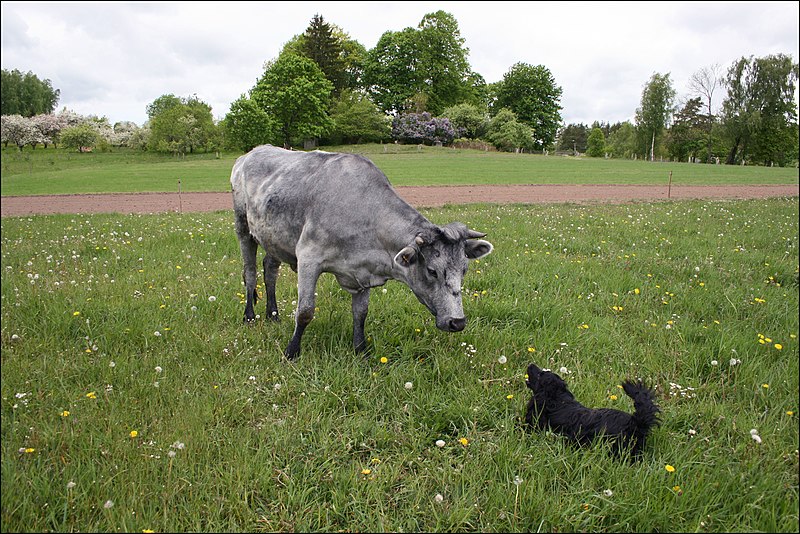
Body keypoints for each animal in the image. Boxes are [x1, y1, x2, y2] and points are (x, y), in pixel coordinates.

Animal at [230, 144, 493, 360]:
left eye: (464, 269)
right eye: (432, 271)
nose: (457, 322)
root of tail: (249, 154)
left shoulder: (363, 272)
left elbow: (360, 313)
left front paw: (360, 349)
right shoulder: (308, 259)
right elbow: (305, 312)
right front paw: (292, 351)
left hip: (273, 238)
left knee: (269, 270)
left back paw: (273, 313)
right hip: (243, 227)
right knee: (250, 272)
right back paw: (250, 316)